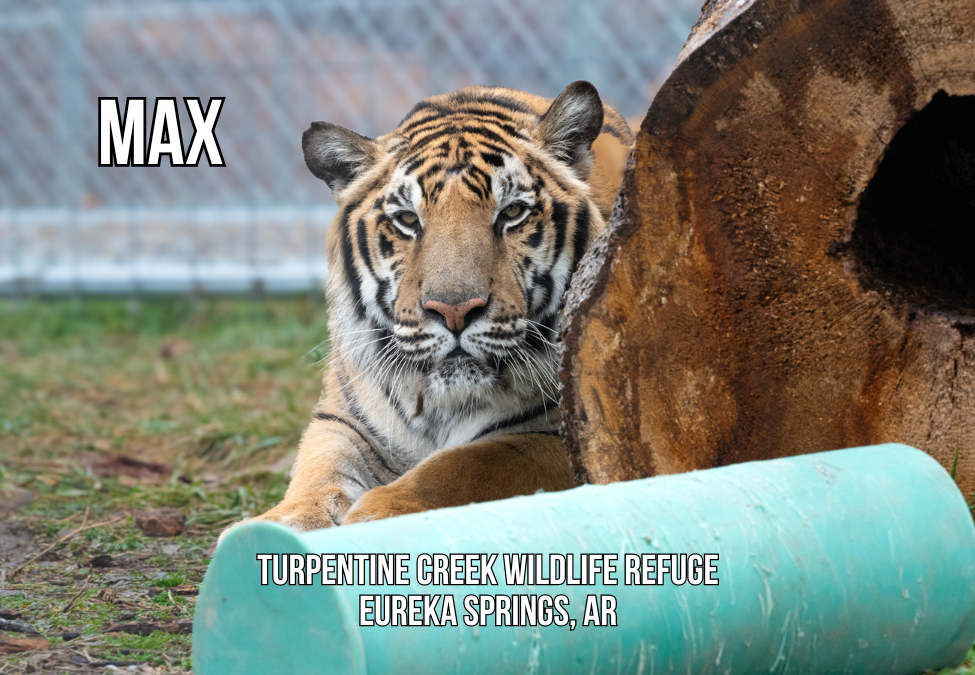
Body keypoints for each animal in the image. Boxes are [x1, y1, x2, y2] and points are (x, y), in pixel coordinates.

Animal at [239, 81, 632, 533]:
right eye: (408, 220)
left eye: (513, 212)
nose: (454, 312)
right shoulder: (345, 419)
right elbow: (319, 471)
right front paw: (279, 524)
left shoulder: (568, 435)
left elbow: (470, 463)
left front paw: (380, 511)